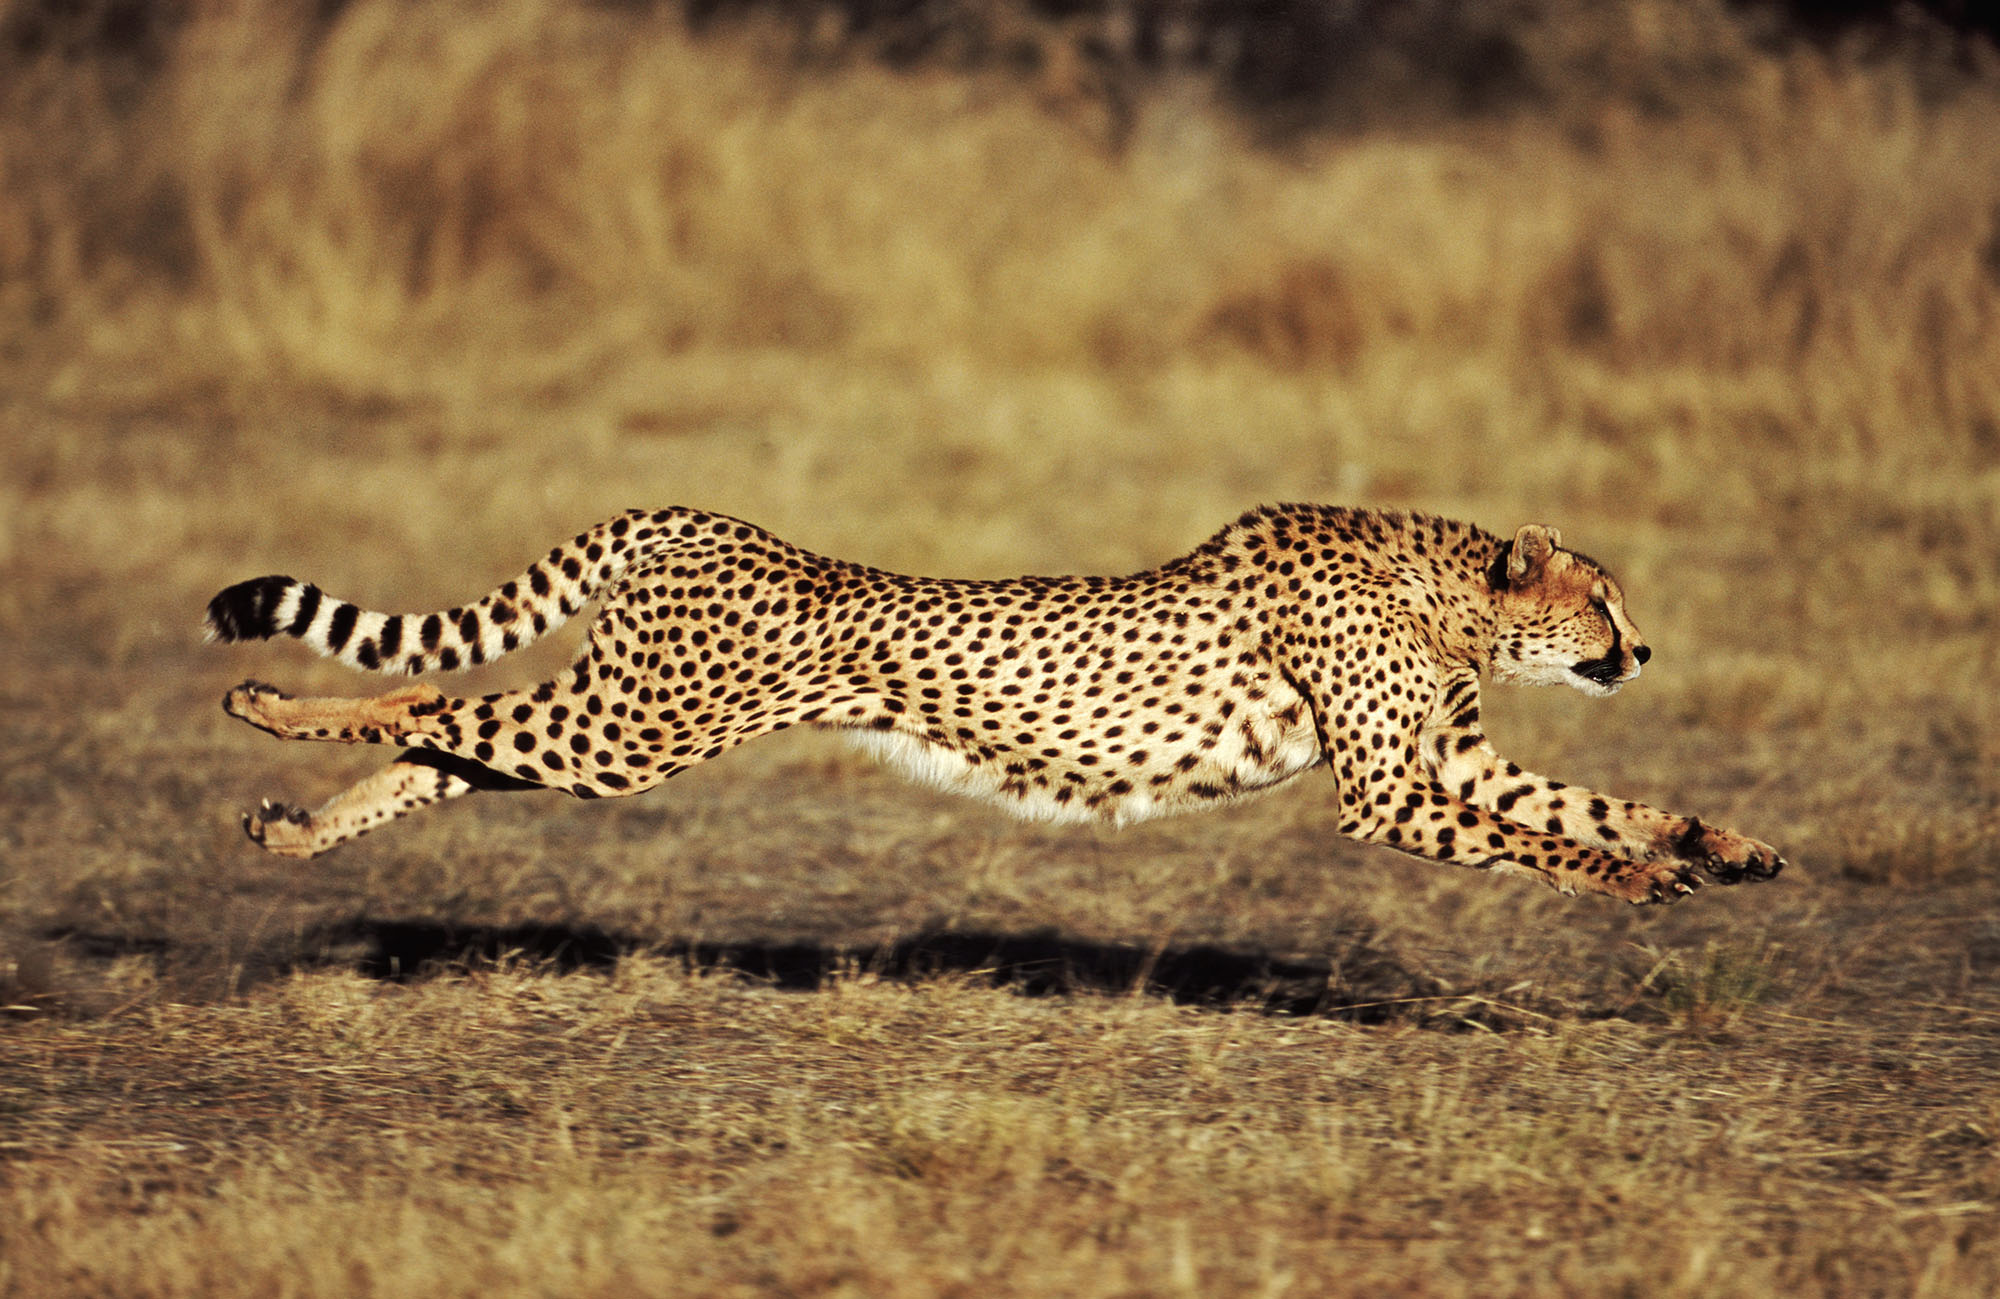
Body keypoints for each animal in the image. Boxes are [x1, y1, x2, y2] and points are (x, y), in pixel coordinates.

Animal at [204, 504, 1786, 904]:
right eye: (1599, 602)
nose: (1642, 652)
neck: (1447, 589)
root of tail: (703, 519)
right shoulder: (1385, 791)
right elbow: (1545, 837)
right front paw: (1636, 882)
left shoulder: (1443, 762)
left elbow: (1590, 801)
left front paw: (1721, 846)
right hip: (636, 729)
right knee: (419, 691)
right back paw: (264, 704)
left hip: (614, 727)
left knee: (442, 745)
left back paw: (288, 829)